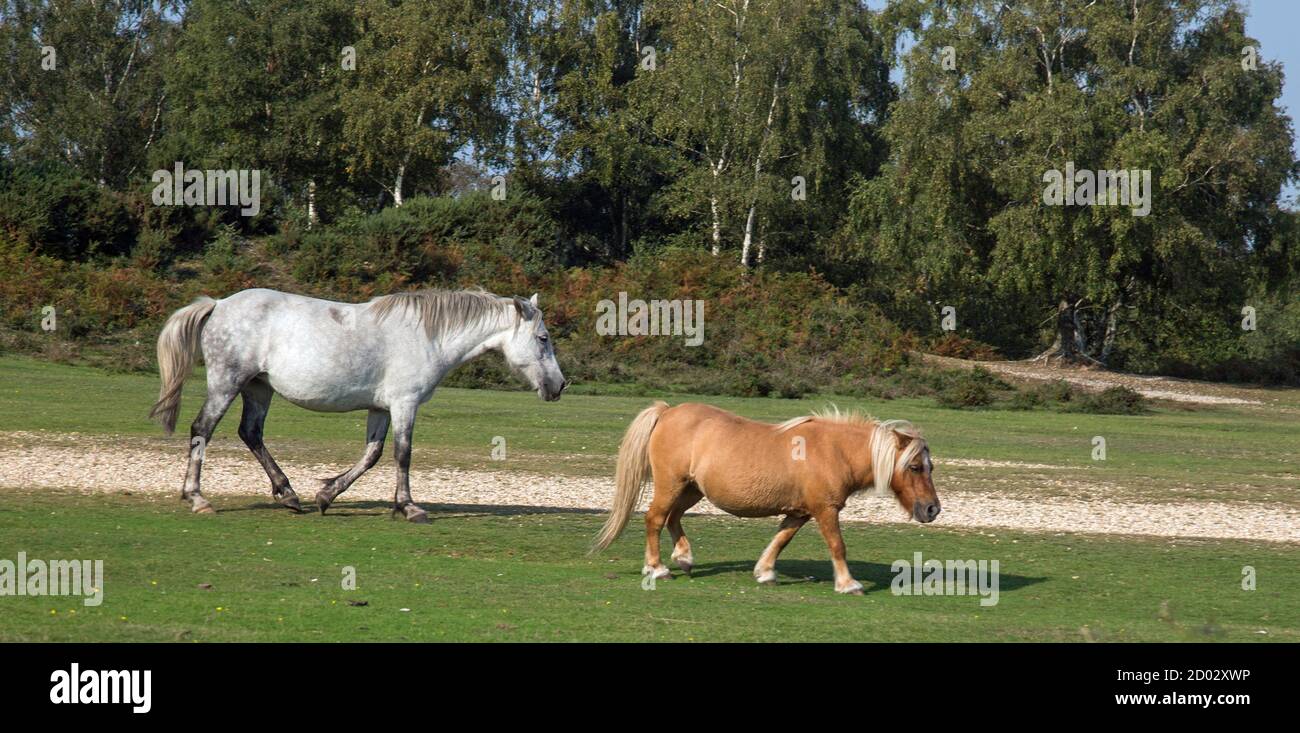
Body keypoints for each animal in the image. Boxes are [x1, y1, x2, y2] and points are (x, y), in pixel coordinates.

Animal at [148, 287, 567, 522]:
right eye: (543, 338)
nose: (559, 385)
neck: (428, 336)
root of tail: (218, 305)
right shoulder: (405, 403)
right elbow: (402, 454)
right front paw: (409, 507)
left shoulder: (381, 408)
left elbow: (372, 454)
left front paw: (326, 495)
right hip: (227, 382)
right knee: (202, 430)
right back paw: (197, 498)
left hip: (258, 389)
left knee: (250, 433)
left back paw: (290, 495)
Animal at [593, 402, 940, 594]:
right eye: (914, 466)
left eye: (930, 466)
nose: (932, 509)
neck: (833, 450)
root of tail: (667, 412)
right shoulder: (825, 510)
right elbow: (837, 546)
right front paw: (849, 584)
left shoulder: (800, 512)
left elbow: (780, 540)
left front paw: (765, 572)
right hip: (671, 485)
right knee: (654, 518)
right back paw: (657, 568)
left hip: (691, 490)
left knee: (672, 518)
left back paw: (683, 559)